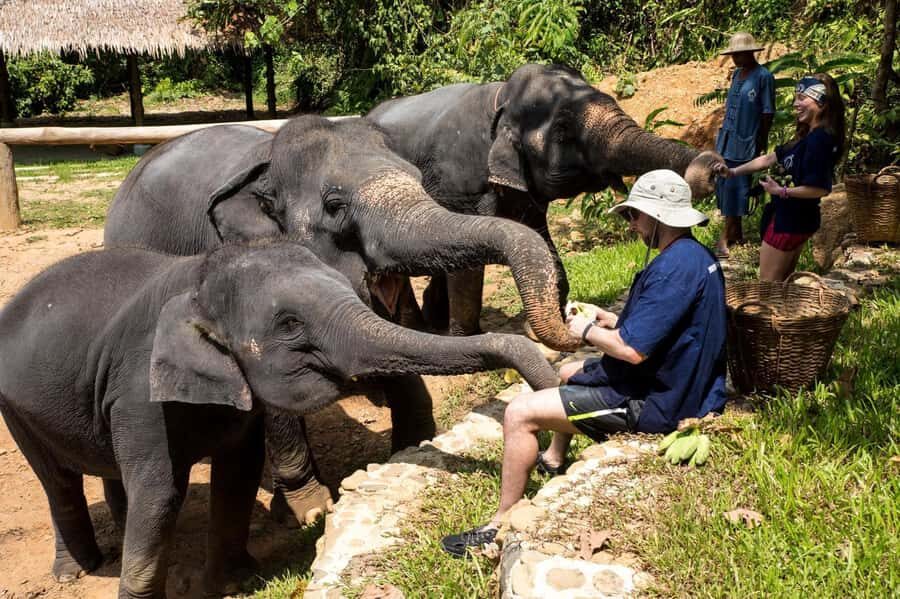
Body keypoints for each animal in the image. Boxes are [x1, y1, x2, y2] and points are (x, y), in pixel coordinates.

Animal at [0, 241, 559, 598]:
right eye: (290, 325)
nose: (551, 462)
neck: (197, 276)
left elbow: (238, 475)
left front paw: (236, 583)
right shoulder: (138, 391)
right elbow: (160, 494)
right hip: (15, 410)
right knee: (58, 482)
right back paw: (76, 572)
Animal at [104, 115, 579, 528]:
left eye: (418, 179)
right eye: (334, 205)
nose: (571, 325)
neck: (266, 159)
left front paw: (414, 445)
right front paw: (311, 510)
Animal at [366, 62, 722, 336]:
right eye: (563, 130)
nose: (715, 168)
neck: (499, 100)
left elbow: (538, 236)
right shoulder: (460, 182)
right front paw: (469, 338)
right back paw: (413, 328)